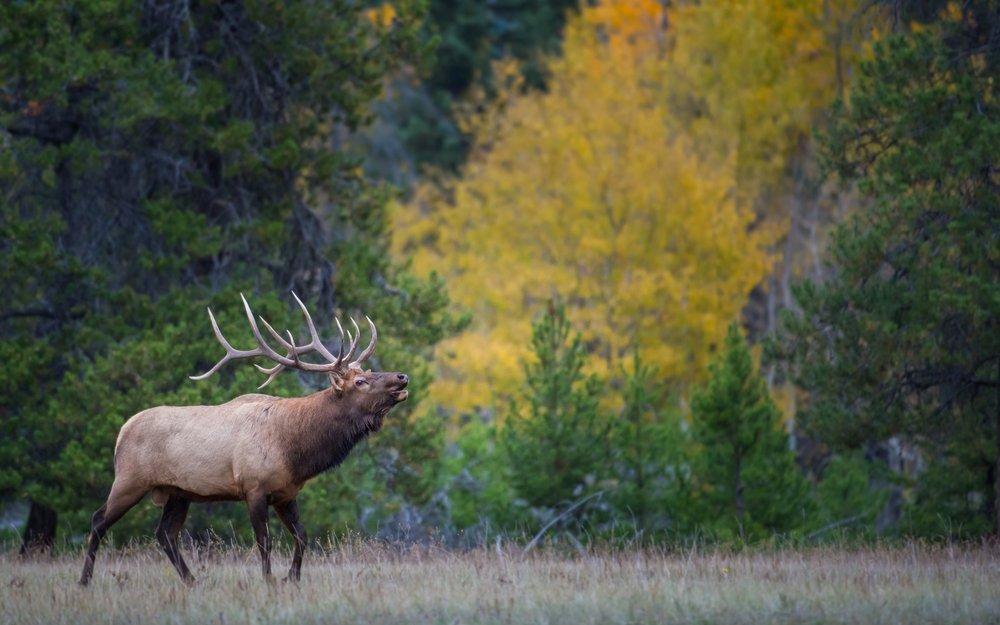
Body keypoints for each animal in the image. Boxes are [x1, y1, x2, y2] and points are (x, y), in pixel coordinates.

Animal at [78, 293, 409, 586]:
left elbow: (302, 536)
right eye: (360, 381)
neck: (295, 450)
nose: (402, 377)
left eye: (369, 371)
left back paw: (191, 581)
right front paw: (269, 580)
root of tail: (122, 432)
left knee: (165, 534)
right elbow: (265, 542)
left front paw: (292, 578)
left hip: (178, 492)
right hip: (130, 479)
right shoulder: (254, 487)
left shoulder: (286, 492)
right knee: (98, 520)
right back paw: (84, 580)